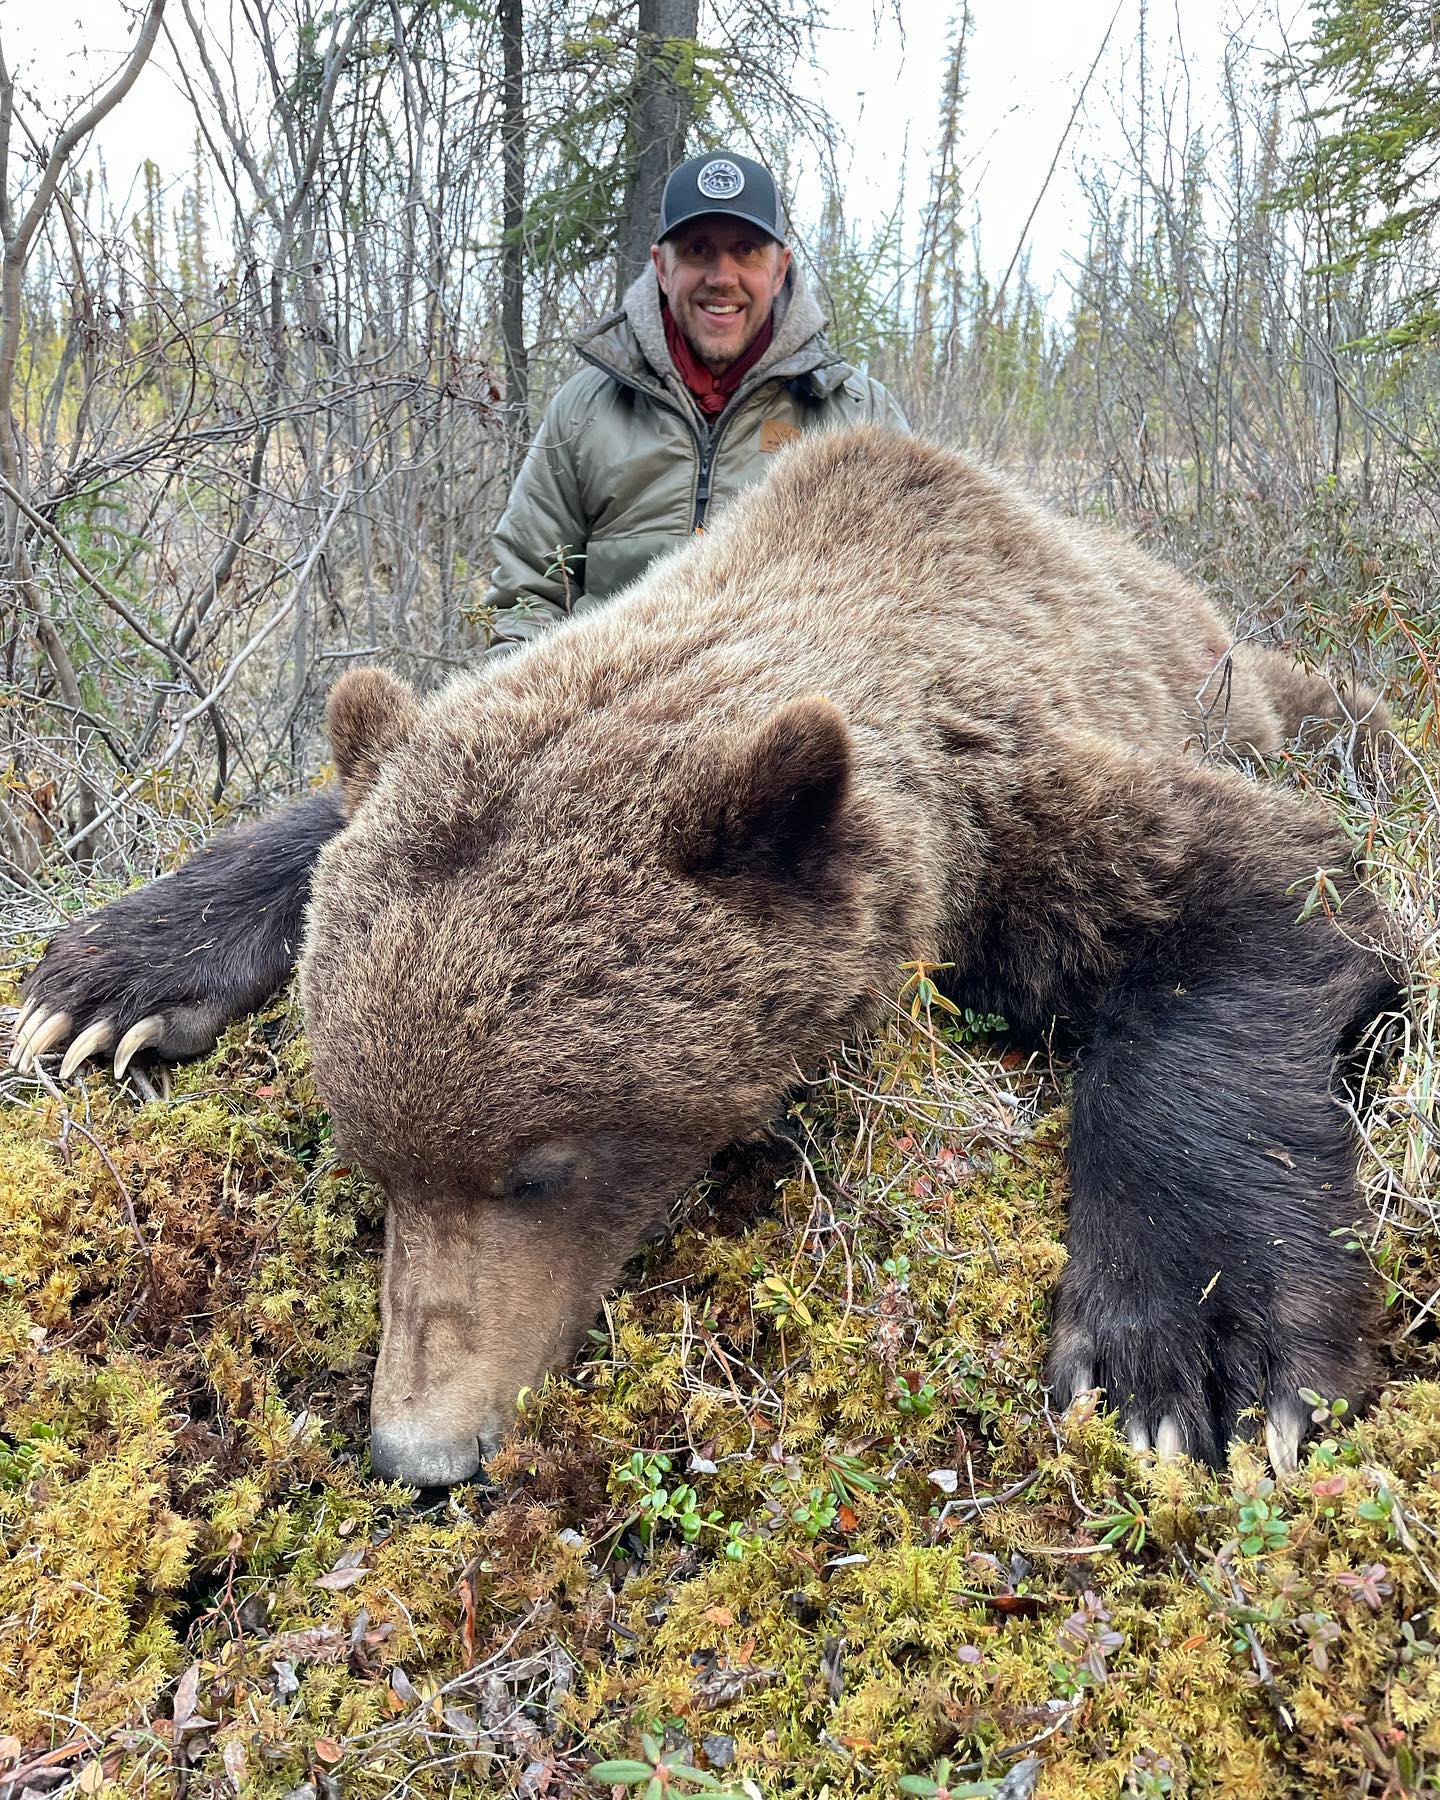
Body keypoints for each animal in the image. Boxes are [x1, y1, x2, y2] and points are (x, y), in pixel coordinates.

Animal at [12, 429, 1399, 1489]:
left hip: (1261, 691)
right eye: (373, 1163)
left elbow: (1264, 887)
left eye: (538, 1169)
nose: (419, 1454)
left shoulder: (1019, 799)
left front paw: (1186, 1355)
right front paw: (106, 982)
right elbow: (314, 826)